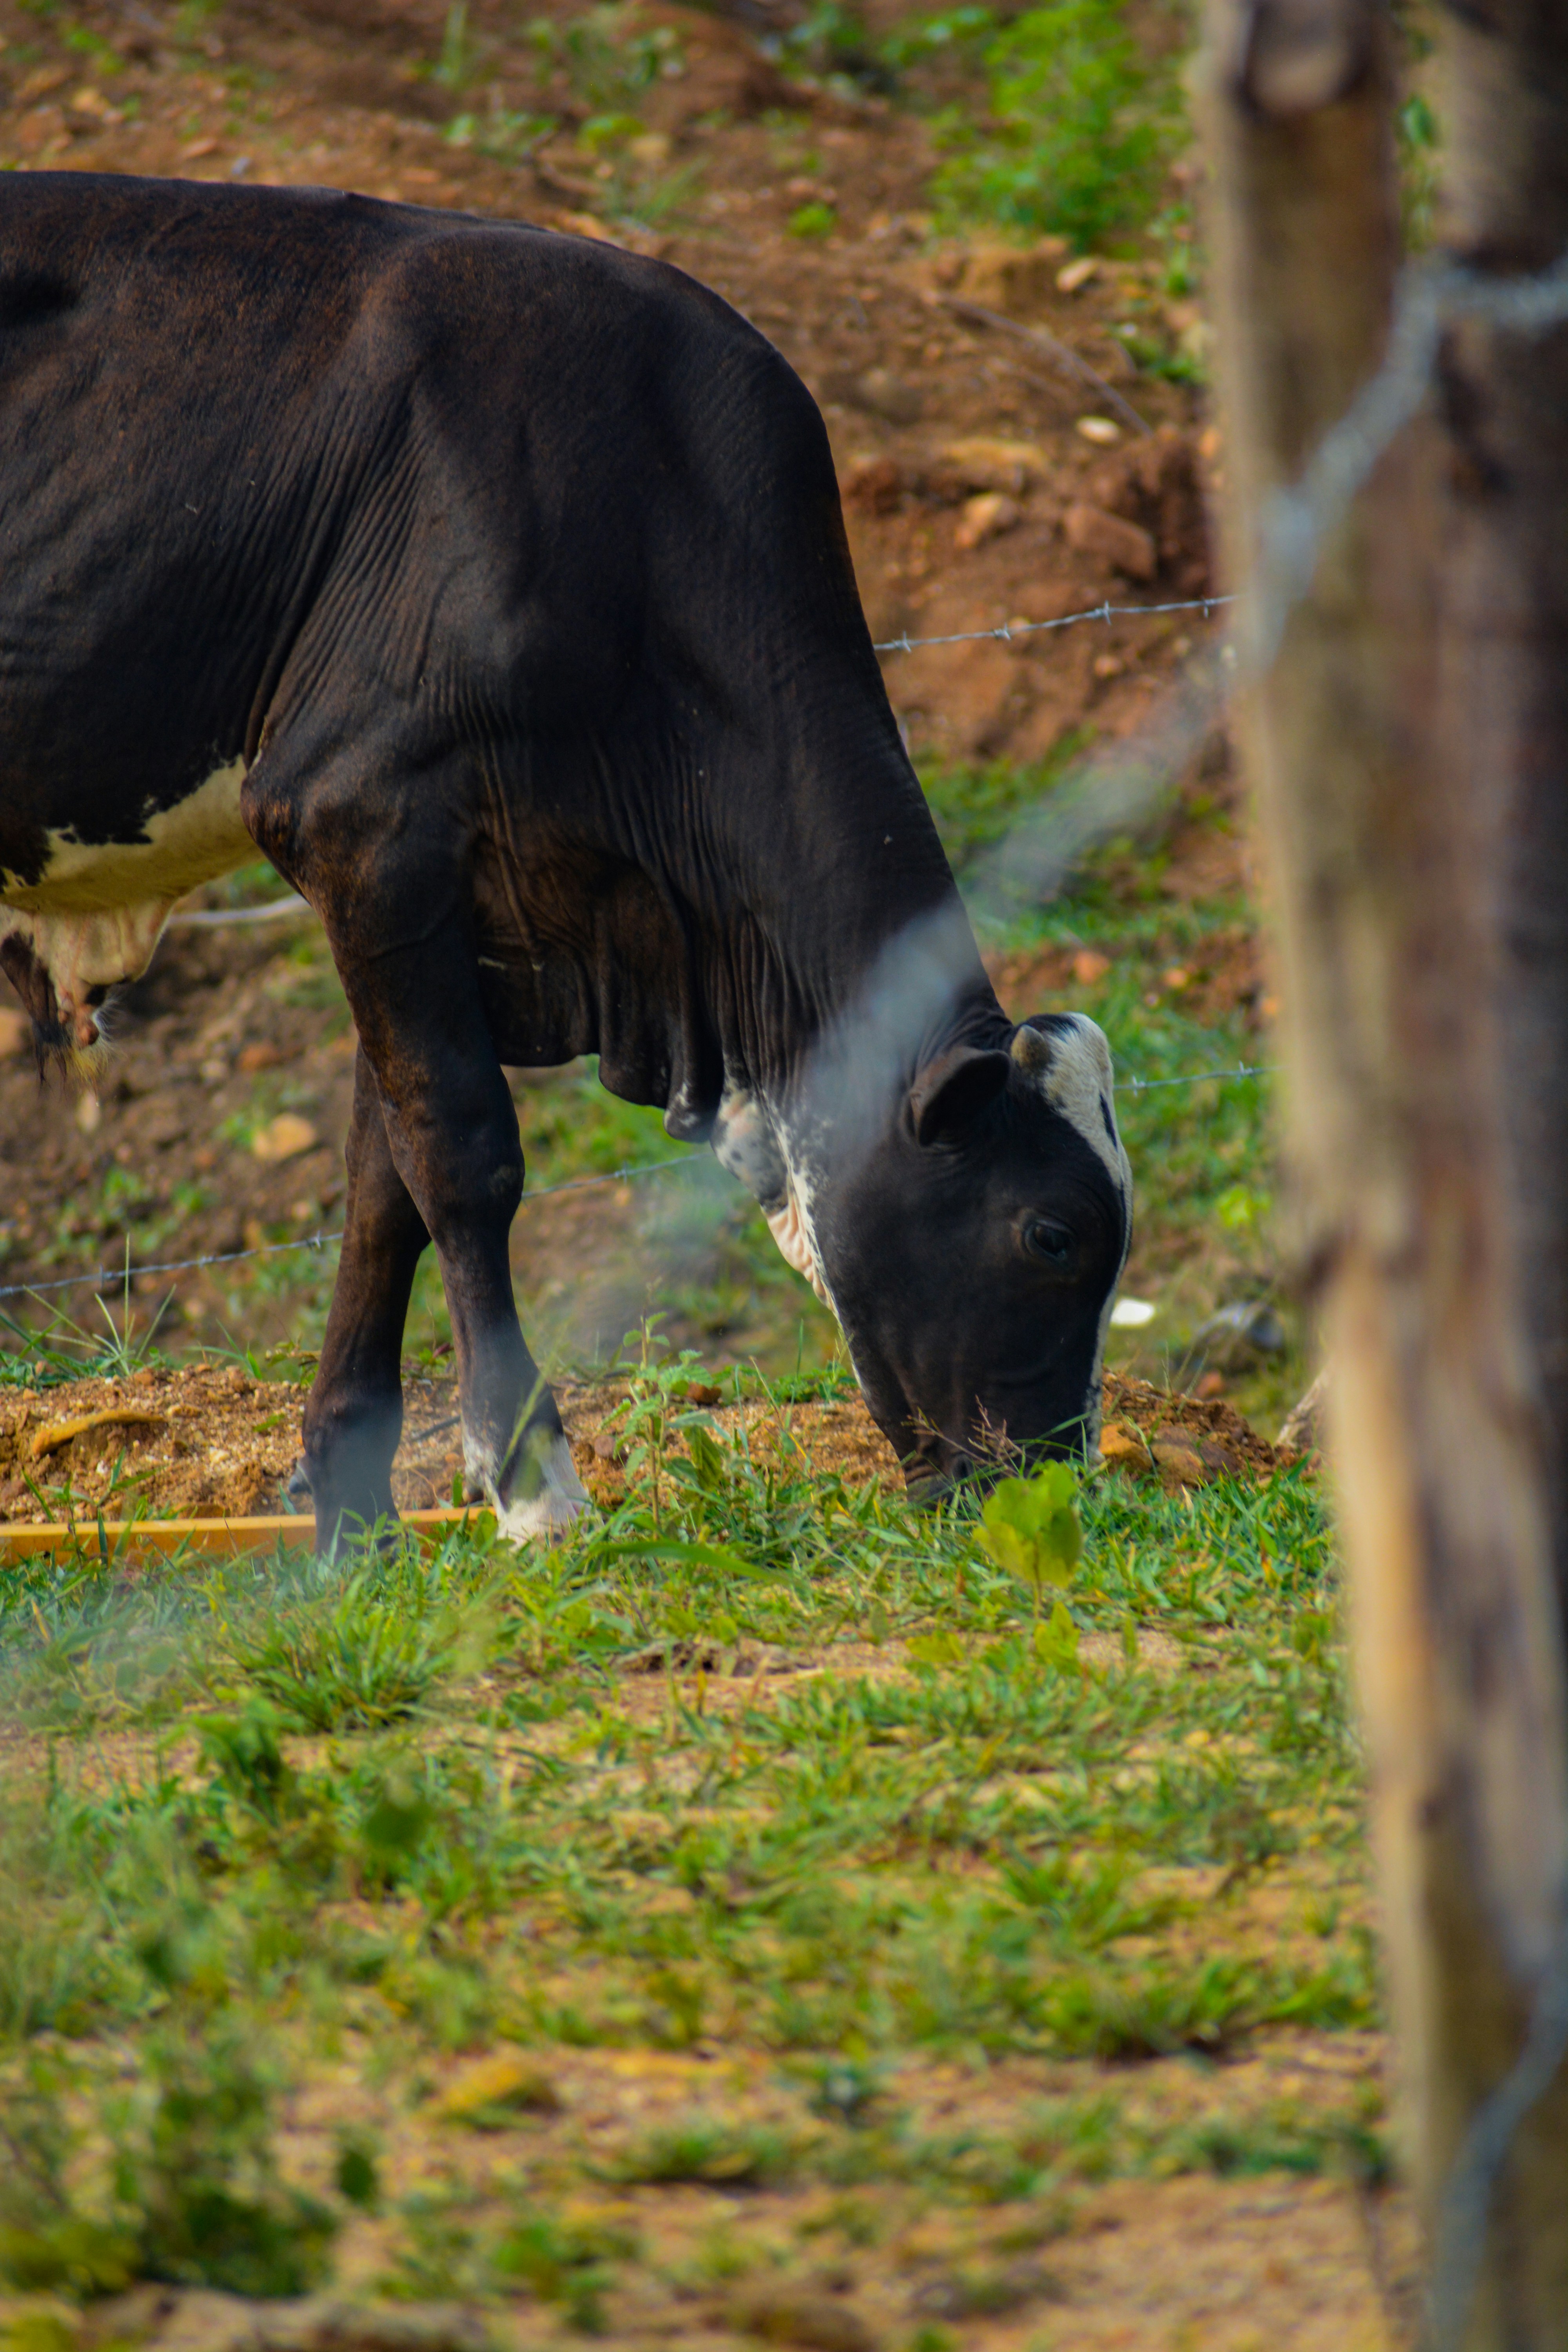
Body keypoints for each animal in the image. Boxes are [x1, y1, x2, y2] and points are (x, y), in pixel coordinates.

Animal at [0, 172, 1133, 1545]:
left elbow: (382, 1184)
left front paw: (355, 1512)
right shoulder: (361, 821)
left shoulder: (468, 900)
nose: (1052, 1484)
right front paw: (534, 1484)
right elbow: (464, 1158)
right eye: (1051, 1235)